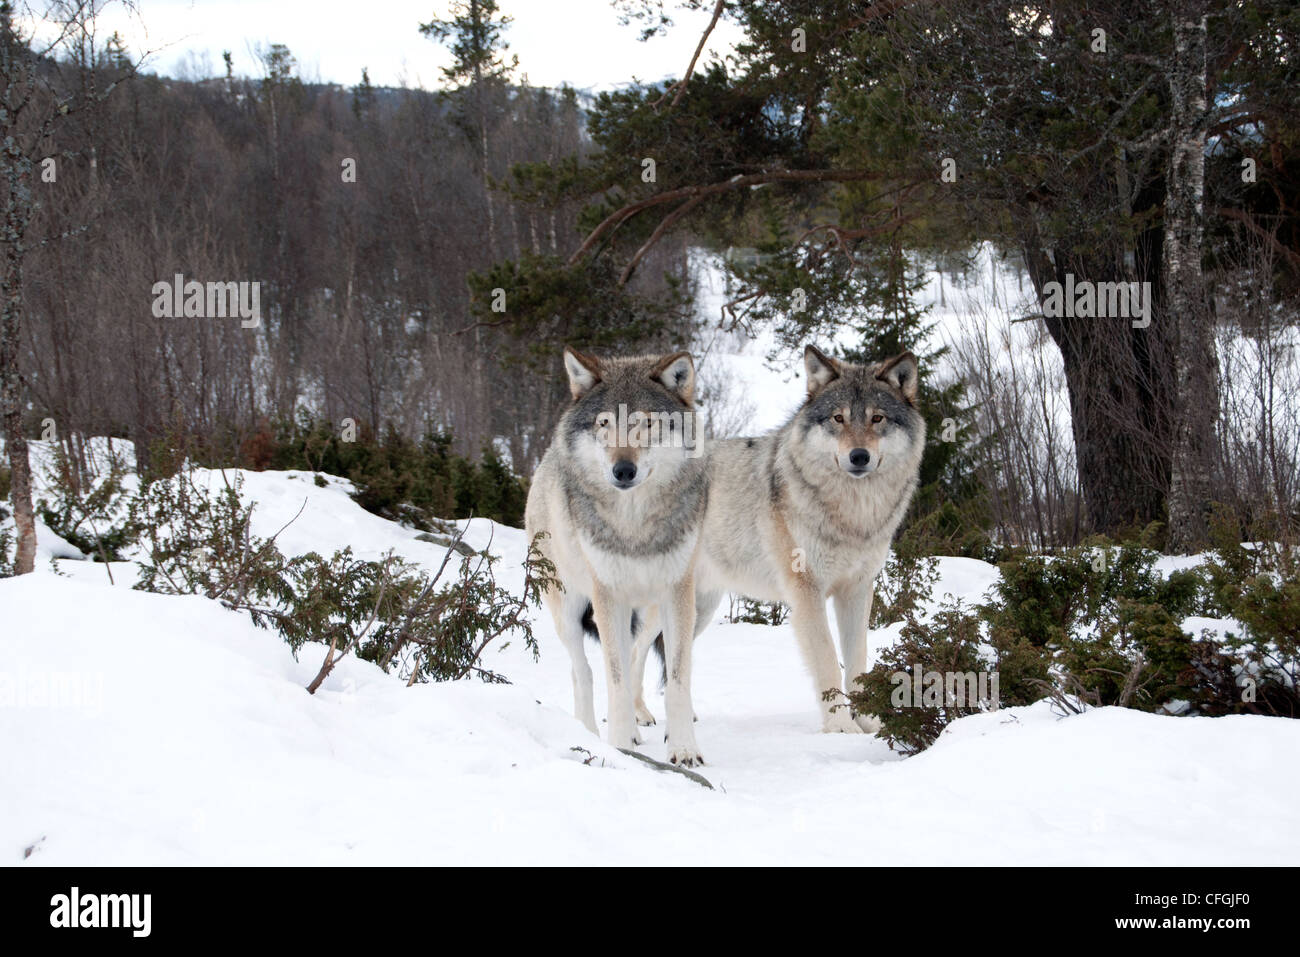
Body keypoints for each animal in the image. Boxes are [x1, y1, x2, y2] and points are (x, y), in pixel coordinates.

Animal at [525, 346, 709, 766]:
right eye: (605, 424)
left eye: (646, 424)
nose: (623, 470)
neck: (635, 526)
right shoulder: (608, 595)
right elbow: (615, 677)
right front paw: (621, 746)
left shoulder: (677, 593)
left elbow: (678, 678)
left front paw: (684, 749)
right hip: (570, 609)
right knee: (583, 672)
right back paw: (591, 734)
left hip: (651, 612)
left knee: (637, 655)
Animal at [632, 345, 925, 732]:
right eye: (838, 419)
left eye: (877, 418)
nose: (859, 456)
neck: (853, 515)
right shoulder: (807, 592)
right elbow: (828, 661)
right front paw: (841, 729)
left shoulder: (858, 590)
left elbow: (857, 664)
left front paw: (870, 725)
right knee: (633, 649)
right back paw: (637, 715)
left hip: (699, 609)